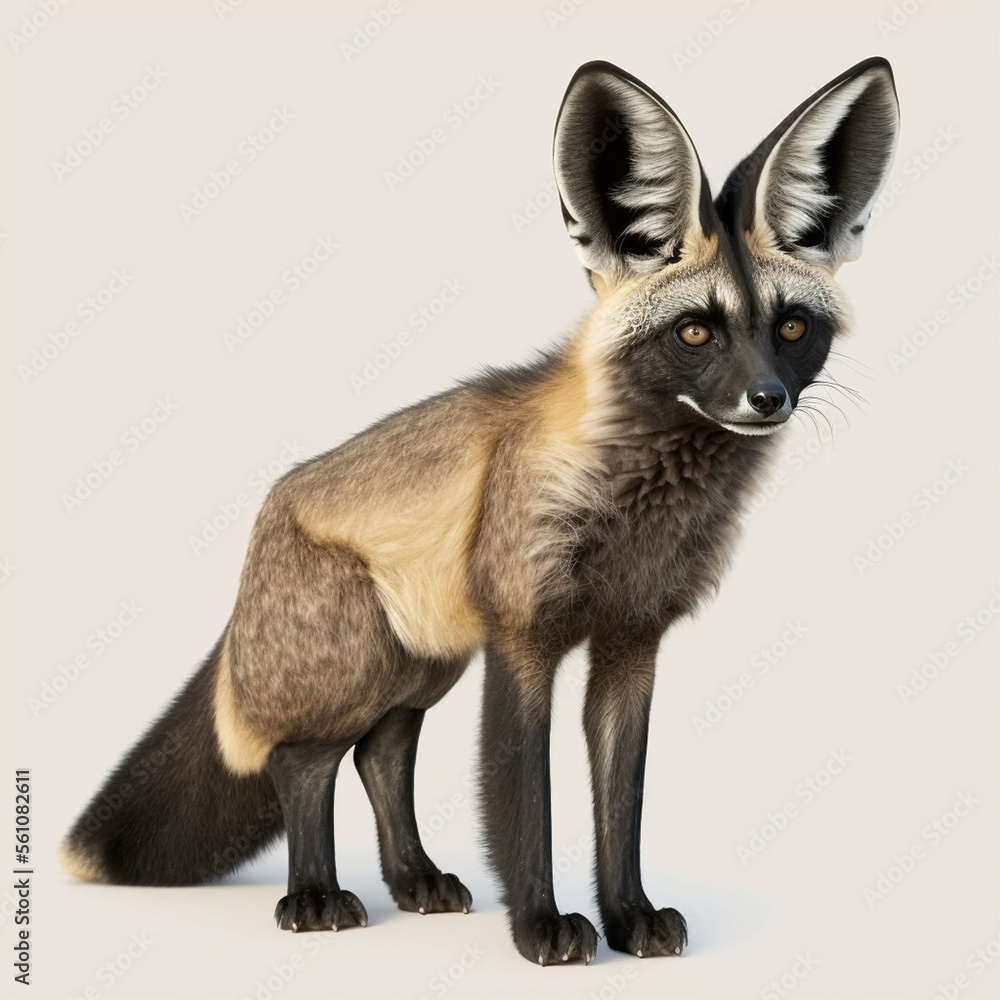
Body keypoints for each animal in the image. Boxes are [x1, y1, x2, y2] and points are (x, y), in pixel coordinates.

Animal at [62, 57, 899, 965]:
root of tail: (272, 506)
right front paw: (541, 927)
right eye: (696, 333)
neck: (639, 507)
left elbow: (621, 804)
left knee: (382, 753)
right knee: (302, 762)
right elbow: (523, 801)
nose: (769, 400)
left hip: (425, 663)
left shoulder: (632, 642)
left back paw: (416, 881)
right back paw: (315, 896)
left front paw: (629, 916)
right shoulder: (521, 638)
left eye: (792, 328)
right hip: (359, 669)